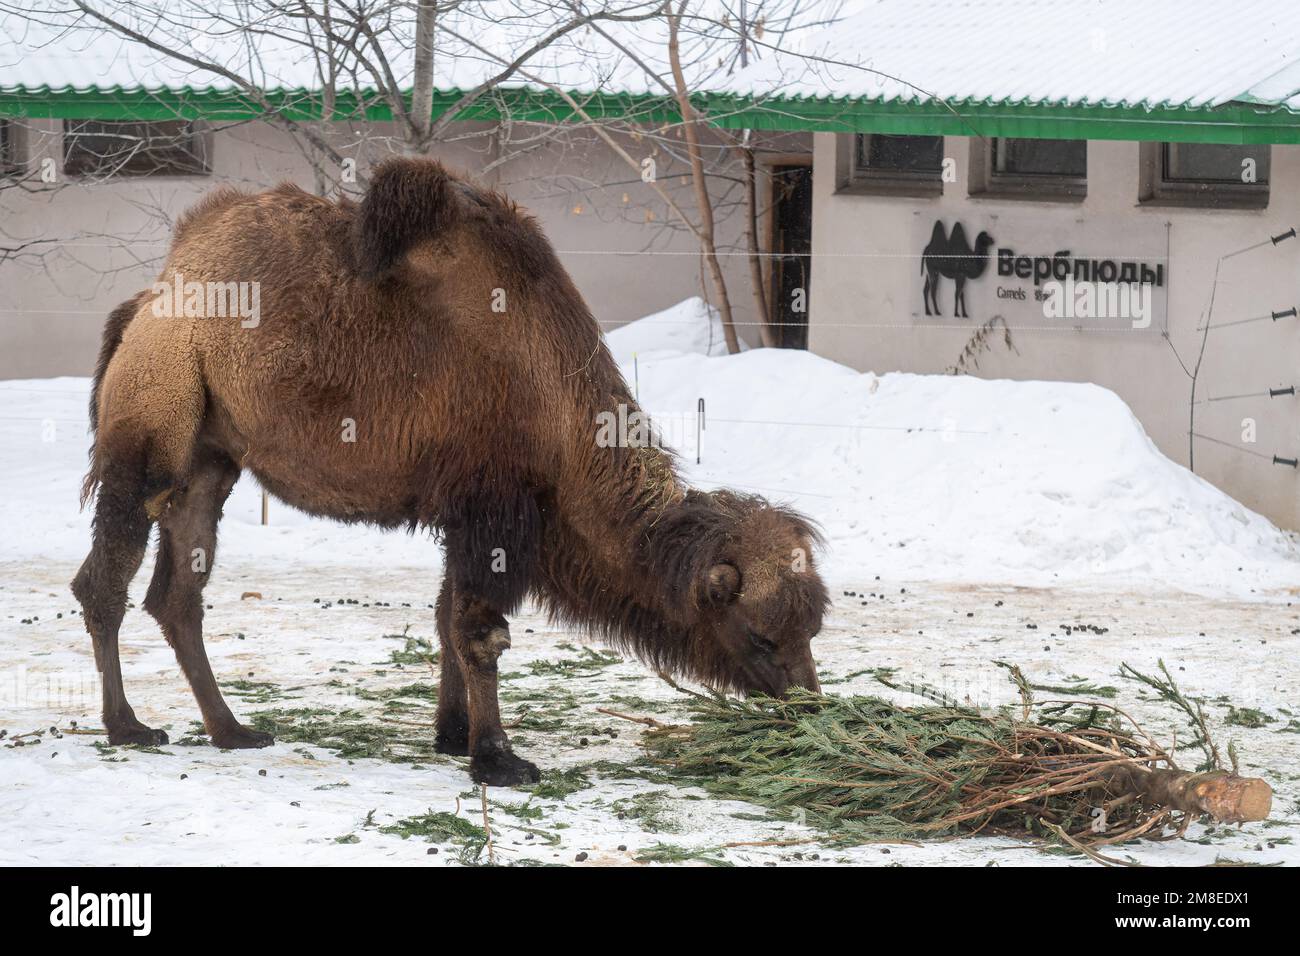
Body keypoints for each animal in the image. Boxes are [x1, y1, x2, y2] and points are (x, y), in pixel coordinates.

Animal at [73, 158, 829, 786]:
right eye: (762, 634)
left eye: (813, 628)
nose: (810, 702)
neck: (548, 393)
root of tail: (148, 302)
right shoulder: (493, 506)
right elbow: (480, 631)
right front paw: (498, 758)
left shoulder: (463, 511)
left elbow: (444, 618)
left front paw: (451, 733)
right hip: (155, 412)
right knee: (107, 574)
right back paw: (129, 726)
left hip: (211, 456)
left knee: (178, 593)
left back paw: (232, 730)